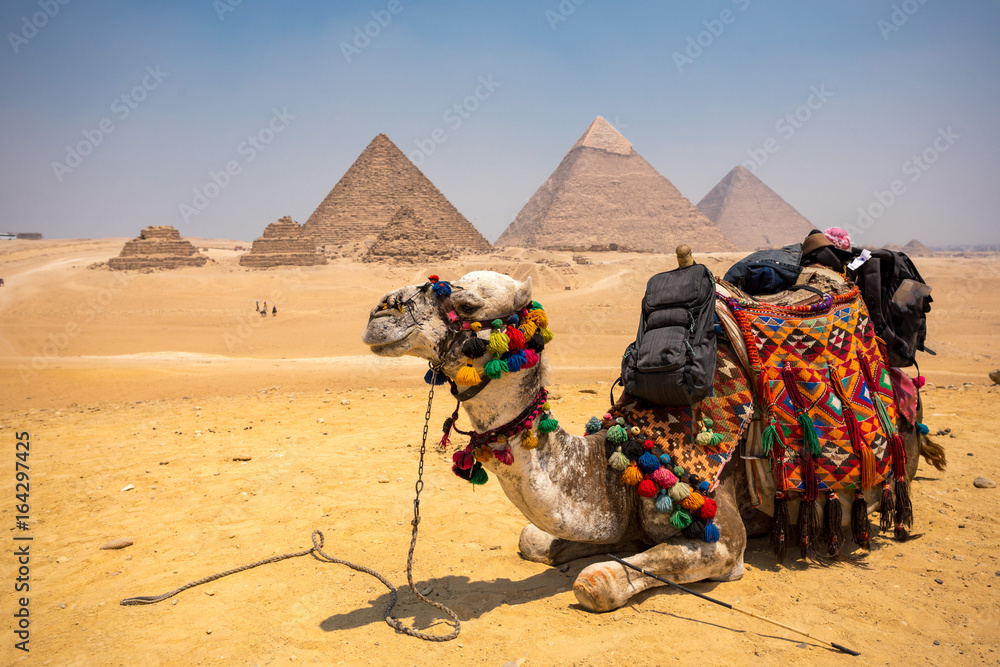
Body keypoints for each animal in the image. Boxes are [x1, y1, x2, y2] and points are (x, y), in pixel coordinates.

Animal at [363, 269, 942, 612]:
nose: (380, 311)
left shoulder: (722, 535)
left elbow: (597, 581)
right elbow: (535, 541)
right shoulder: (615, 514)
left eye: (465, 302)